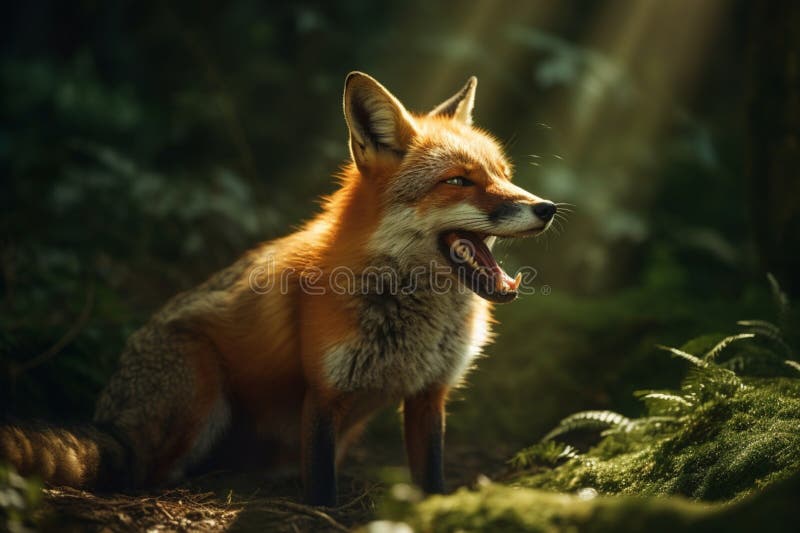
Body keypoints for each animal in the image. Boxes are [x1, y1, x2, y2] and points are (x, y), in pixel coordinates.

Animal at [0, 72, 557, 506]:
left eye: (505, 175)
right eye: (459, 182)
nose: (547, 208)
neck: (418, 324)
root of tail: (113, 418)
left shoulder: (429, 395)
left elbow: (433, 482)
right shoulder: (324, 394)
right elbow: (323, 491)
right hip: (200, 394)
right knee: (145, 473)